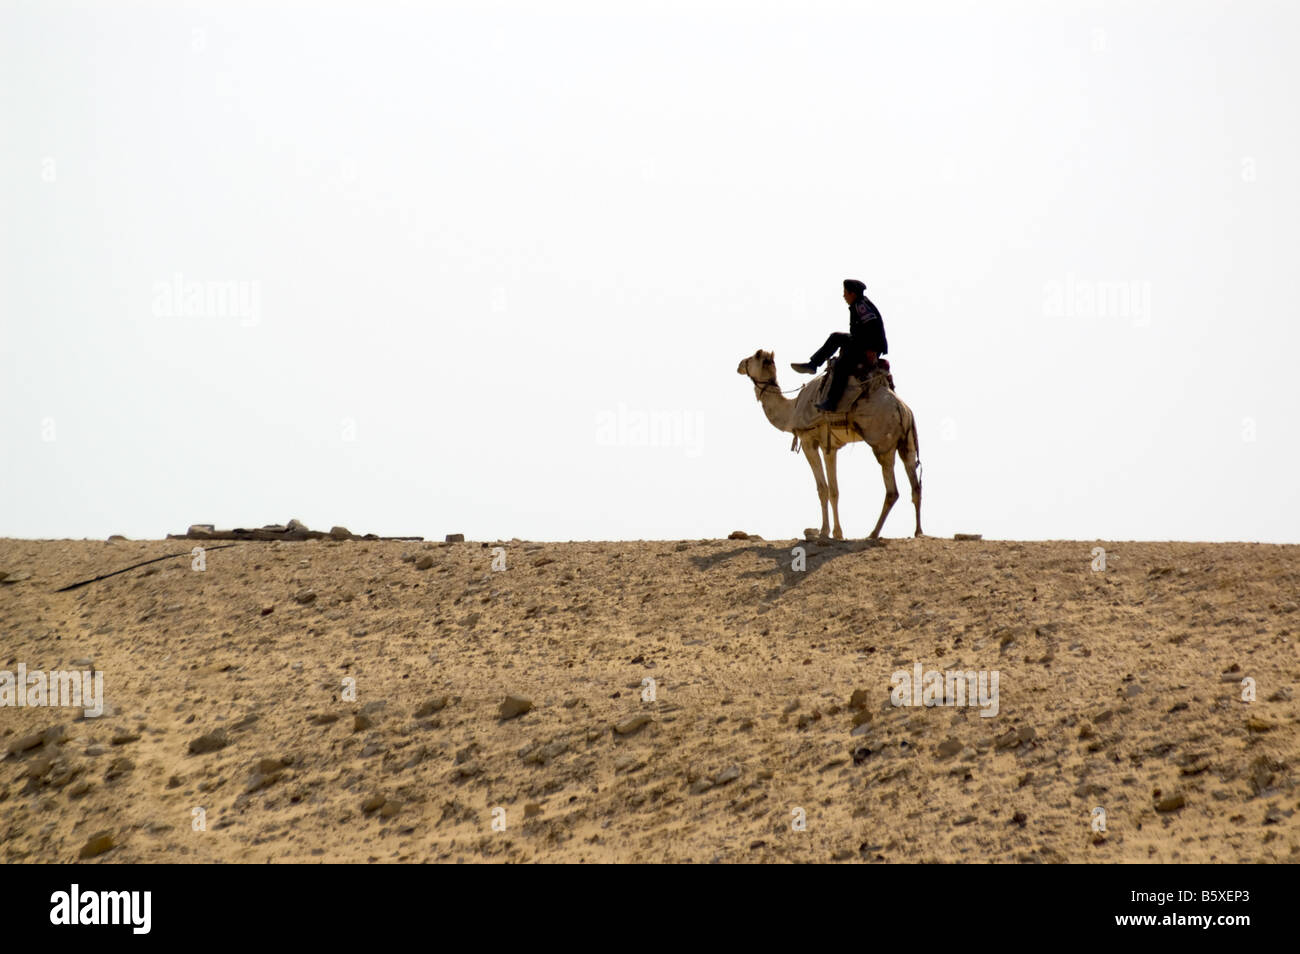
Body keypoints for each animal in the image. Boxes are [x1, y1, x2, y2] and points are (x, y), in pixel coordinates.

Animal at [737, 349, 922, 540]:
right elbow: (834, 490)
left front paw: (827, 532)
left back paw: (873, 533)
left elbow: (824, 489)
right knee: (915, 485)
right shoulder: (831, 447)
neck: (792, 410)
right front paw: (836, 532)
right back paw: (918, 532)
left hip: (883, 444)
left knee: (892, 491)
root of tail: (903, 410)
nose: (740, 364)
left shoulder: (809, 441)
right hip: (907, 443)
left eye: (752, 358)